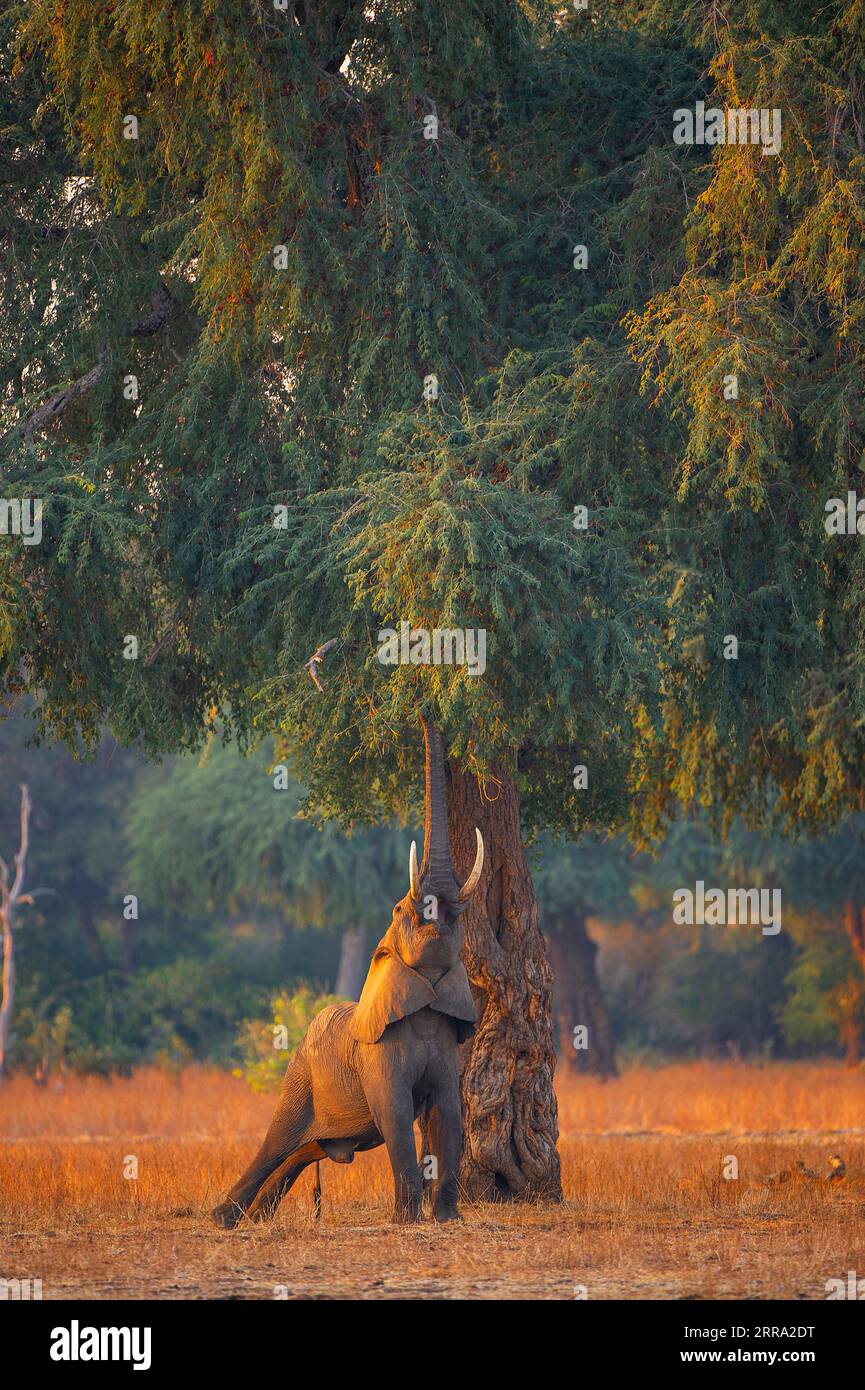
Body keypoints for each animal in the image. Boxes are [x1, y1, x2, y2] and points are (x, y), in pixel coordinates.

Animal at [212, 717, 484, 1227]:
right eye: (401, 910)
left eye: (459, 919)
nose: (426, 713)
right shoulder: (378, 1053)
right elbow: (396, 1114)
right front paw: (406, 1222)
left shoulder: (446, 1044)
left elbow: (449, 1113)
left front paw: (447, 1220)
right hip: (298, 1077)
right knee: (278, 1141)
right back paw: (224, 1217)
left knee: (308, 1150)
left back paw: (256, 1217)